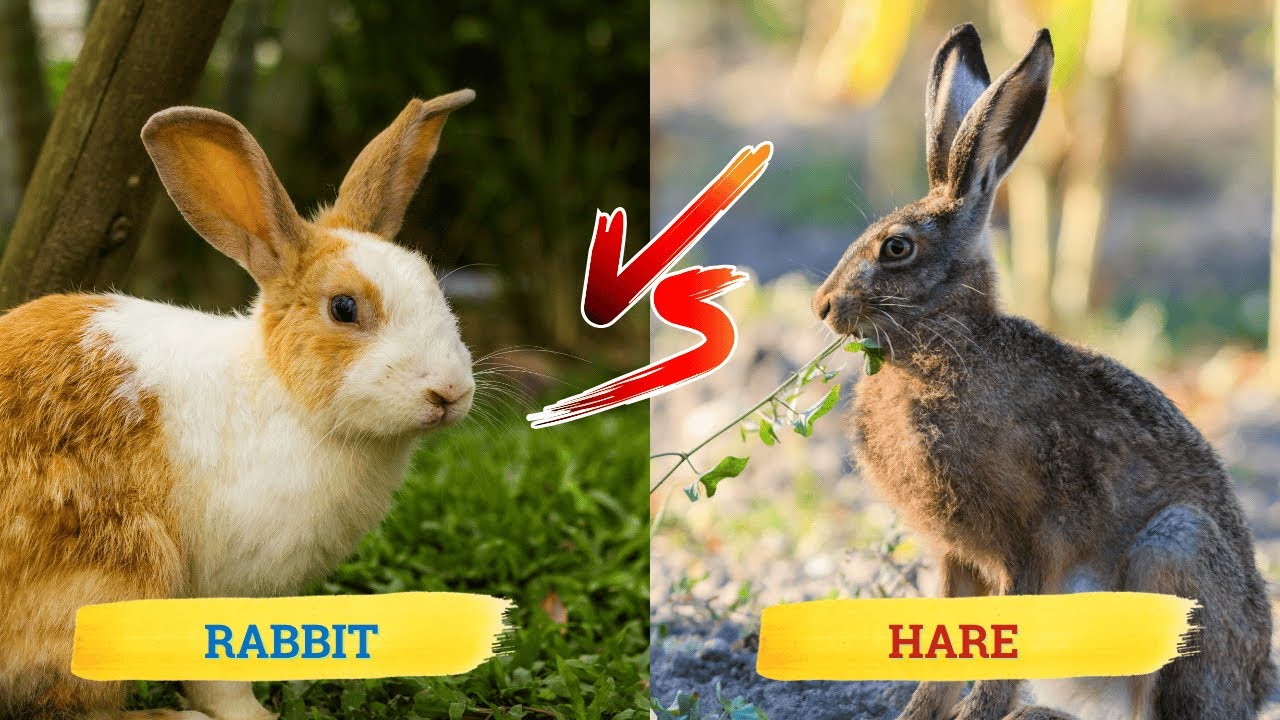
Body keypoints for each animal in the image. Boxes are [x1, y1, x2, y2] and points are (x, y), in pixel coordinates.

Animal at [0, 89, 476, 720]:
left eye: (432, 284)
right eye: (344, 307)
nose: (449, 392)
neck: (286, 396)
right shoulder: (221, 586)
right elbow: (220, 679)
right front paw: (256, 717)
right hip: (113, 578)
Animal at [811, 24, 1274, 720]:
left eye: (896, 248)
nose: (822, 306)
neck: (941, 343)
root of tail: (1254, 685)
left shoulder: (1024, 545)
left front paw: (977, 714)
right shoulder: (958, 557)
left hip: (1176, 551)